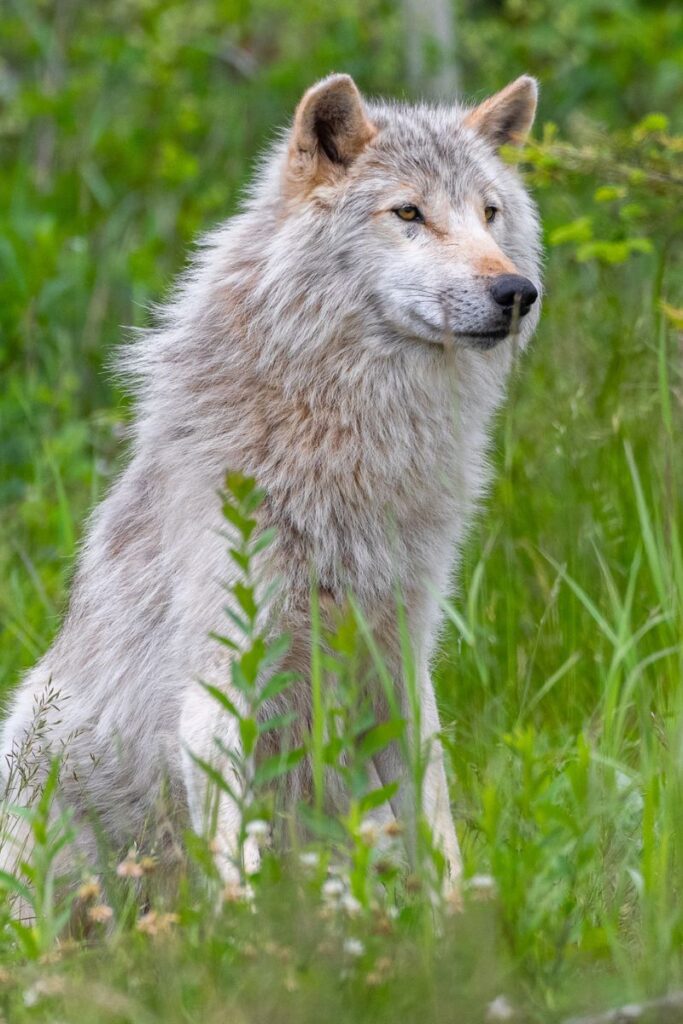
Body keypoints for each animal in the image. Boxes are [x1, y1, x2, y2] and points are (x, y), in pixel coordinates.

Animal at [1, 73, 541, 894]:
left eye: (489, 213)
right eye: (408, 213)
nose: (516, 291)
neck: (347, 439)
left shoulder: (399, 668)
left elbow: (440, 833)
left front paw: (453, 919)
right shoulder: (222, 686)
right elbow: (239, 874)